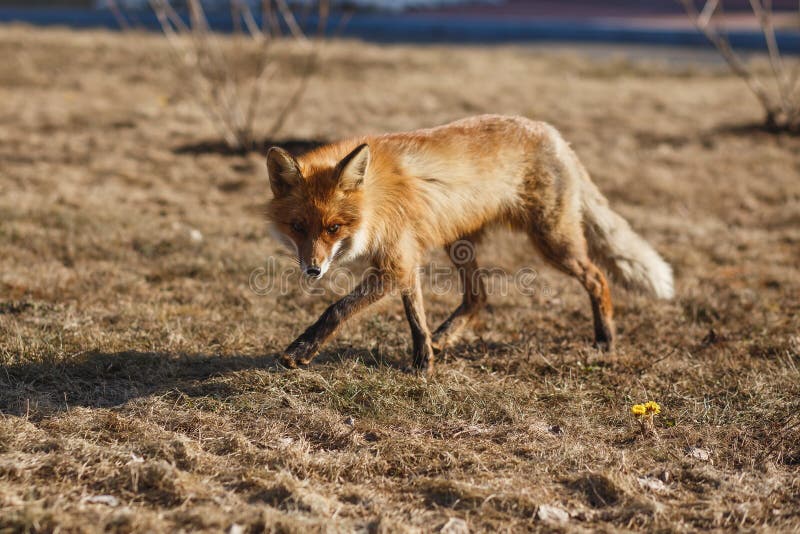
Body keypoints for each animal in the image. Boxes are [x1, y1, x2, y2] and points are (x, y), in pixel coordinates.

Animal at [265, 115, 674, 373]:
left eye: (334, 227)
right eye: (298, 226)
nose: (313, 270)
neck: (375, 198)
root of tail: (551, 132)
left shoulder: (396, 262)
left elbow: (337, 309)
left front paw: (300, 351)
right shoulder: (404, 260)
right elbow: (416, 316)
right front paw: (424, 360)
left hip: (552, 241)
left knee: (598, 278)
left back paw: (606, 339)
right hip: (460, 244)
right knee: (479, 296)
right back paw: (444, 338)